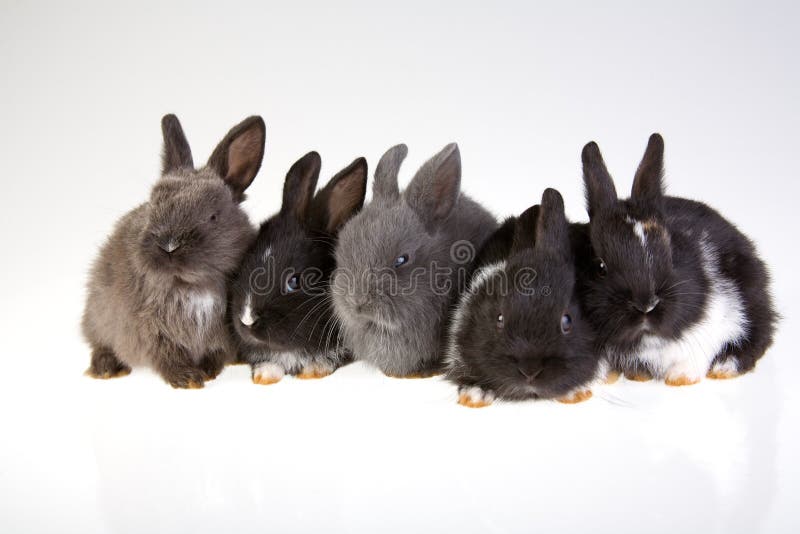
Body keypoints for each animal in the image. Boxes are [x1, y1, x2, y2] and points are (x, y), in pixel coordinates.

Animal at [82, 114, 265, 388]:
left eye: (213, 217)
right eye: (153, 206)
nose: (168, 245)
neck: (193, 286)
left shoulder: (223, 334)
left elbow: (215, 353)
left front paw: (207, 371)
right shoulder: (152, 331)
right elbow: (168, 356)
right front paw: (188, 379)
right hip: (99, 312)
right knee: (100, 343)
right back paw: (106, 368)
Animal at [580, 133, 776, 386]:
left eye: (671, 254)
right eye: (600, 267)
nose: (646, 305)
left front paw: (679, 379)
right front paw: (628, 376)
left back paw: (723, 368)